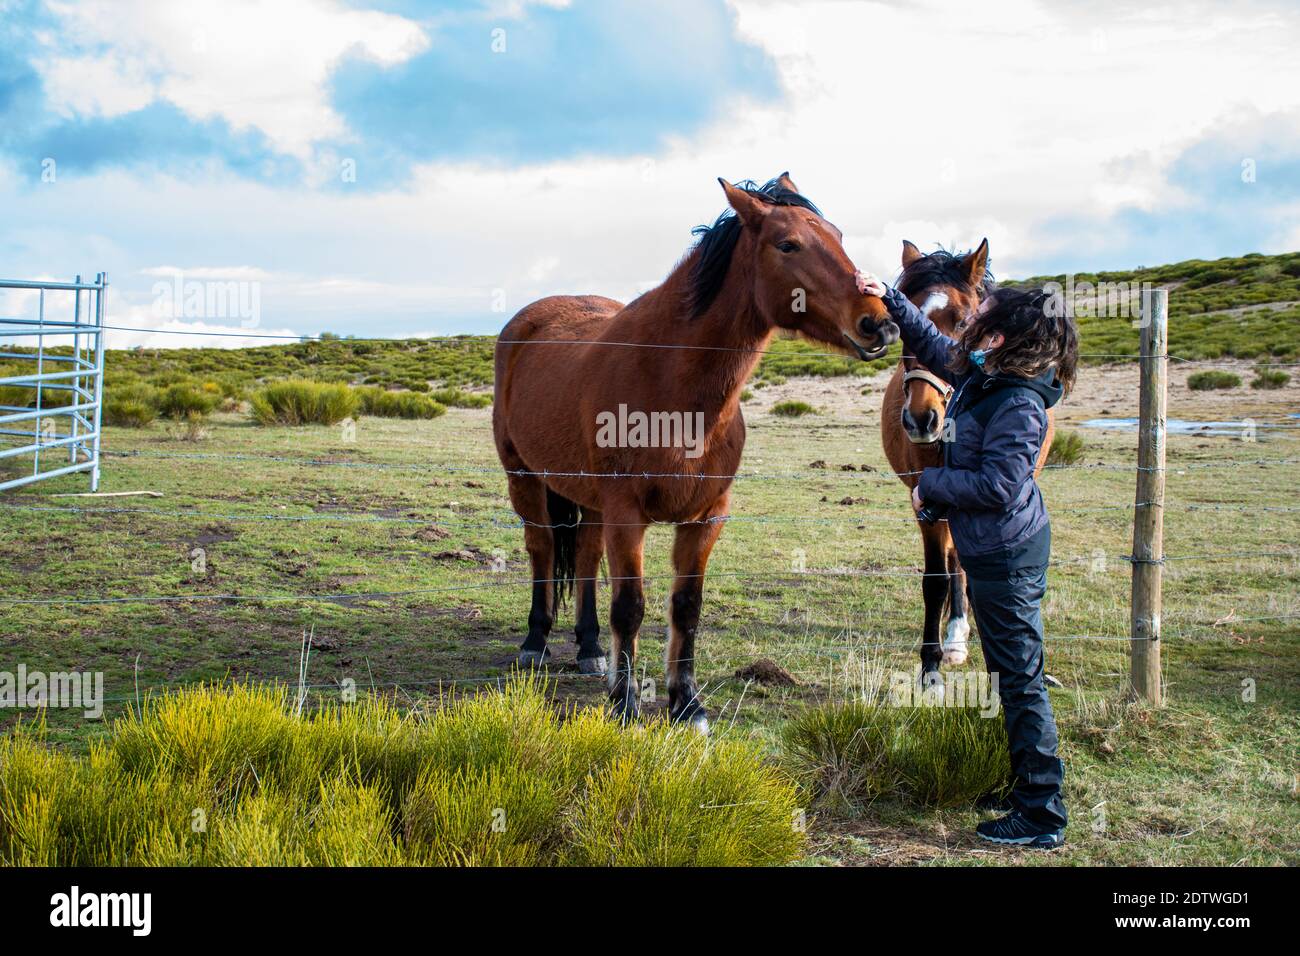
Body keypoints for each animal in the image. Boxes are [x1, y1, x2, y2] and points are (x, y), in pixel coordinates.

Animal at [493, 173, 897, 731]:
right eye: (787, 244)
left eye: (836, 234)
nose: (878, 323)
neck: (674, 386)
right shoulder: (627, 513)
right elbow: (630, 606)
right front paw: (625, 706)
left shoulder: (706, 516)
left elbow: (686, 607)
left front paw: (686, 704)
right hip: (525, 477)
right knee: (542, 548)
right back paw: (535, 642)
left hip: (589, 500)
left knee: (586, 557)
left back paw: (590, 649)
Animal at [880, 240, 1055, 690]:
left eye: (963, 321)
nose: (920, 419)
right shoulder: (923, 499)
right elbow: (935, 580)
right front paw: (930, 668)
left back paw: (959, 633)